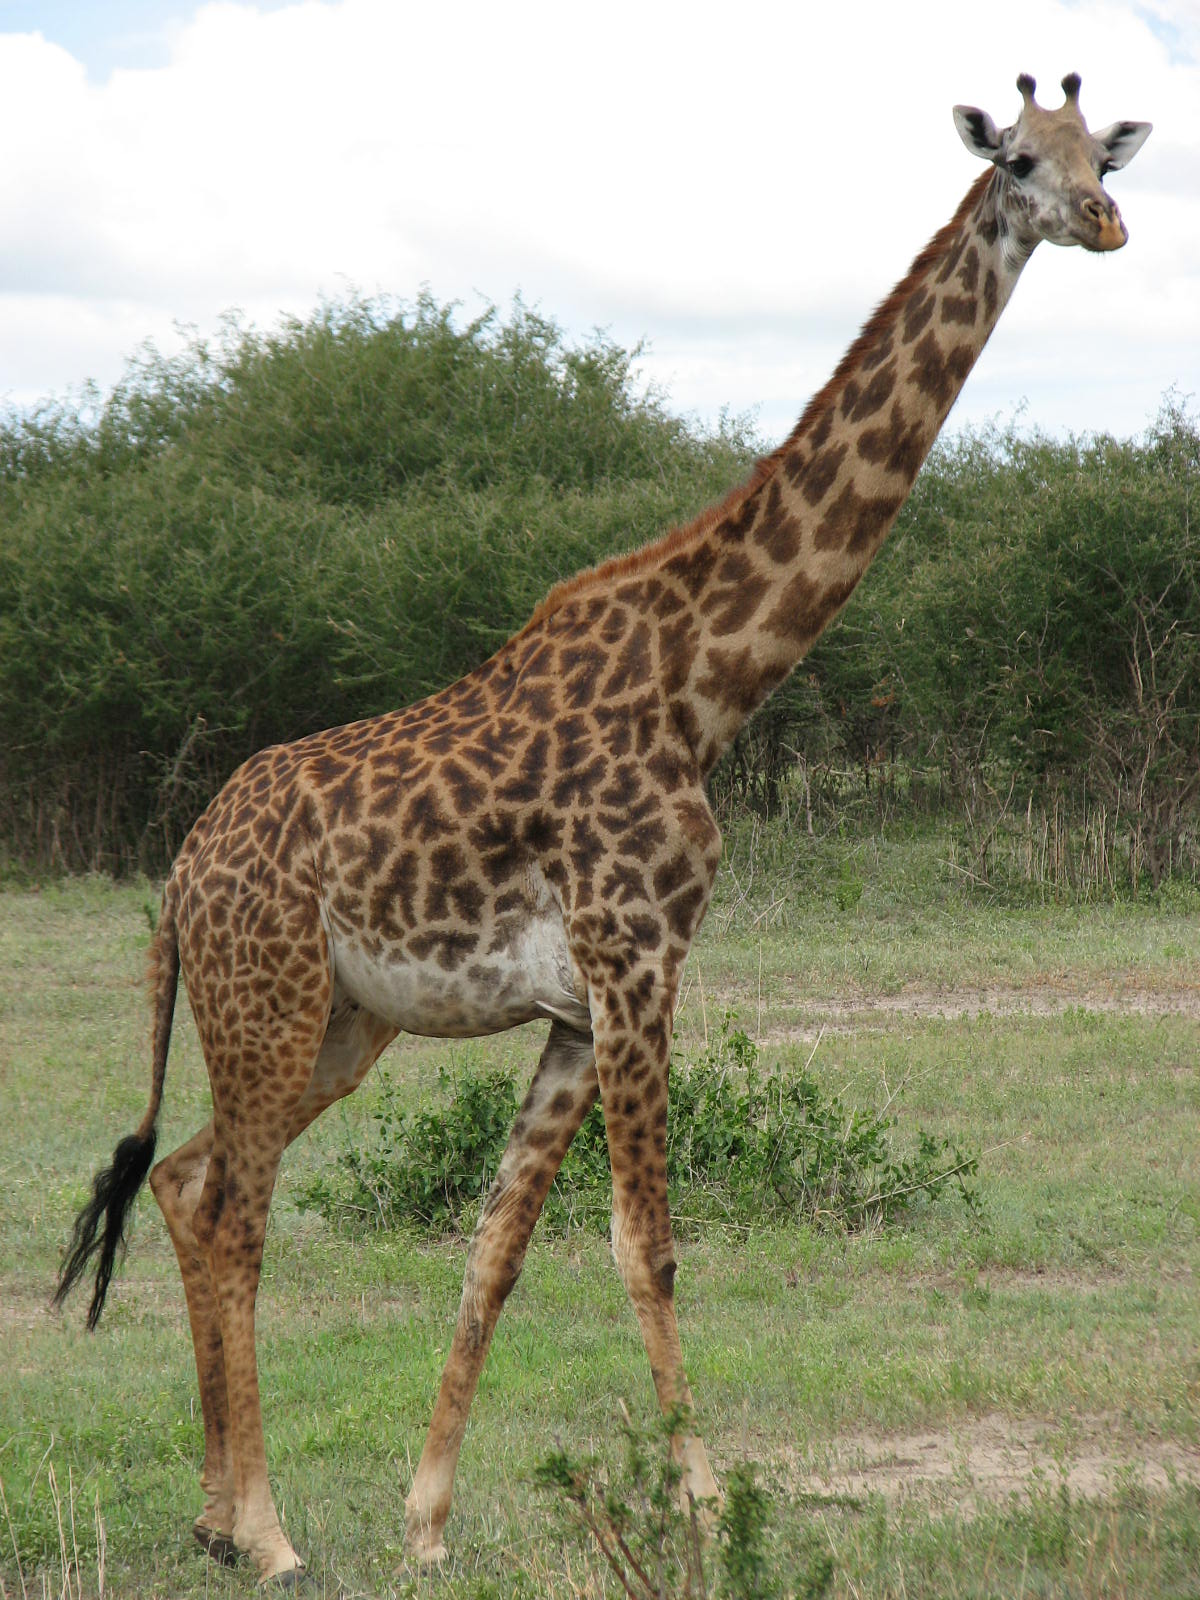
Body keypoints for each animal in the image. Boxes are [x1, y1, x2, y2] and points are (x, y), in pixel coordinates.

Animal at [56, 74, 1150, 1584]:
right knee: (231, 1210)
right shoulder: (638, 959)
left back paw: (218, 1519)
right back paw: (268, 1535)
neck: (708, 683)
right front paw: (701, 1508)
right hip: (266, 1002)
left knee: (181, 1178)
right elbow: (650, 1244)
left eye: (1107, 155)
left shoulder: (581, 1005)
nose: (1107, 223)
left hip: (336, 1023)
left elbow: (498, 1248)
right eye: (1020, 166)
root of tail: (177, 878)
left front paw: (427, 1523)